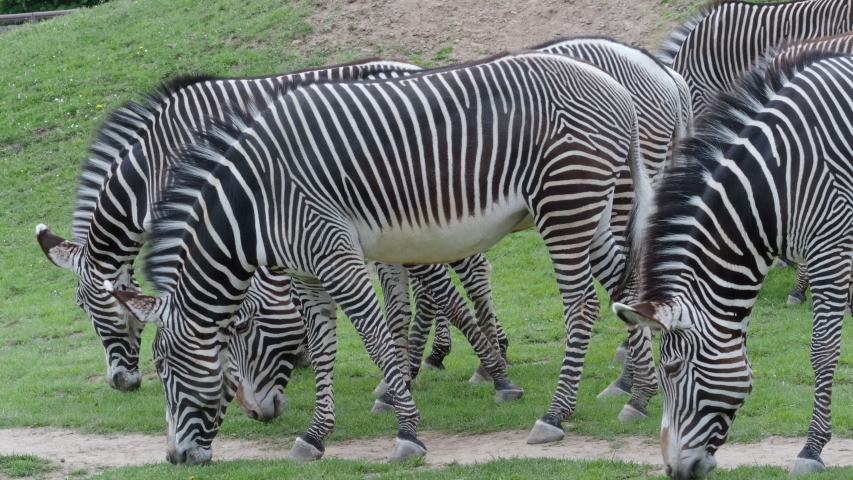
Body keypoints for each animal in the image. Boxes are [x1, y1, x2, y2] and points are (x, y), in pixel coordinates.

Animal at [106, 50, 652, 464]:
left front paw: (407, 431)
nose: (176, 458)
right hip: (594, 211)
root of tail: (617, 88)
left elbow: (375, 338)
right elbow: (324, 345)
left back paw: (556, 414)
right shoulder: (307, 273)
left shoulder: (335, 254)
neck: (255, 204)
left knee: (582, 306)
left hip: (565, 206)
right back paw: (640, 398)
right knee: (624, 289)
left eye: (169, 368)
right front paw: (315, 435)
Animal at [615, 51, 853, 478]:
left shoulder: (831, 249)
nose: (674, 471)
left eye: (671, 369)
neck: (779, 181)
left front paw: (813, 448)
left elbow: (823, 350)